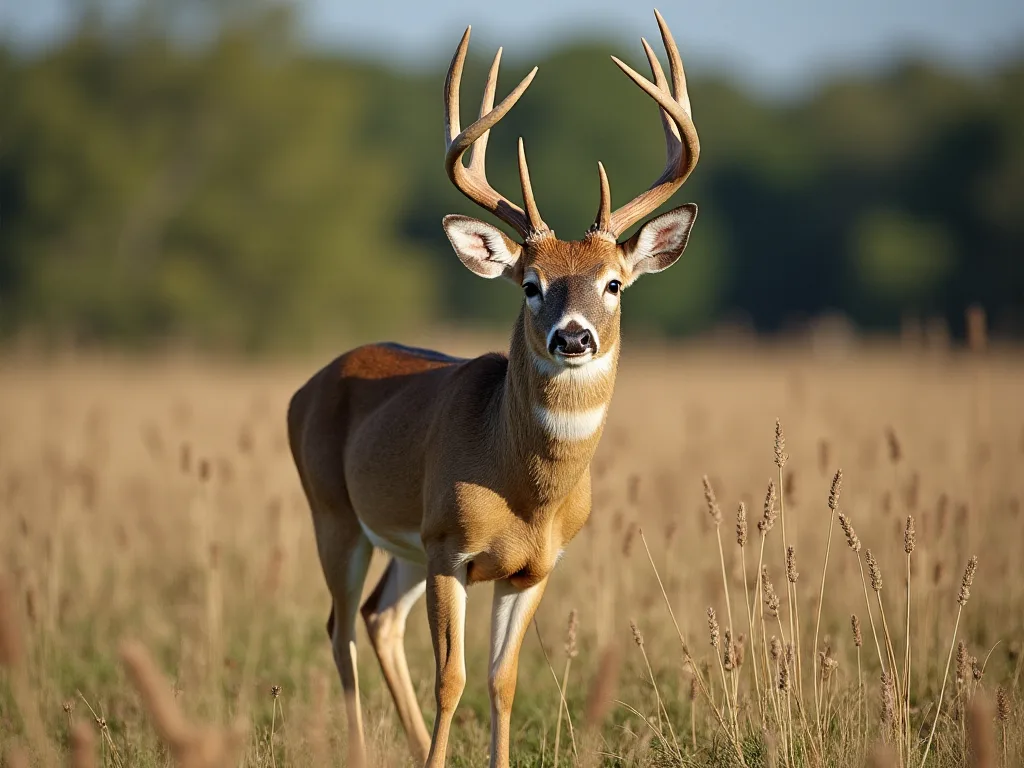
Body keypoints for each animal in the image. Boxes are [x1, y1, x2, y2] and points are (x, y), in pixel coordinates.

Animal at [286, 10, 699, 768]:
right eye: (530, 284)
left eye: (614, 284)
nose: (574, 337)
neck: (524, 490)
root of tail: (308, 385)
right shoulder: (450, 545)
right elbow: (450, 678)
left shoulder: (533, 567)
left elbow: (501, 680)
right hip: (334, 513)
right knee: (340, 627)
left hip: (402, 544)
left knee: (376, 617)